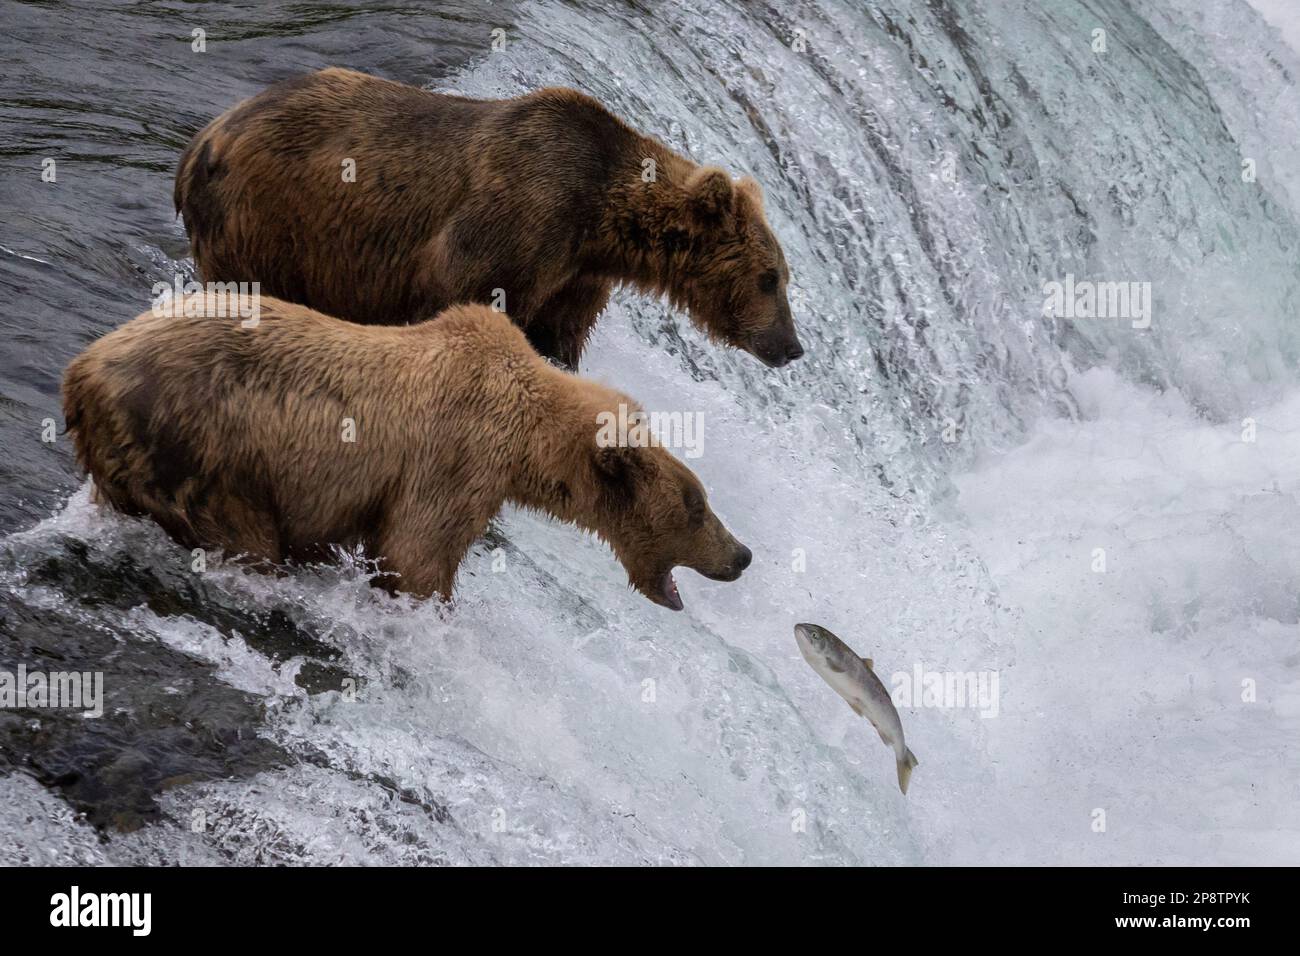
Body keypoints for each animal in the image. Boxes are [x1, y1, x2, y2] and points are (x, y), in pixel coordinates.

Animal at [62, 295, 751, 608]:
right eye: (696, 504)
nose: (741, 555)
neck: (528, 442)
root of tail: (81, 372)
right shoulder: (455, 459)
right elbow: (417, 553)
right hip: (208, 452)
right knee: (245, 535)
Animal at [174, 67, 804, 371]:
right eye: (769, 277)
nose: (791, 345)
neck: (603, 219)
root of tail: (204, 139)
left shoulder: (576, 273)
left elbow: (557, 337)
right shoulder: (522, 217)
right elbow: (460, 294)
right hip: (270, 219)